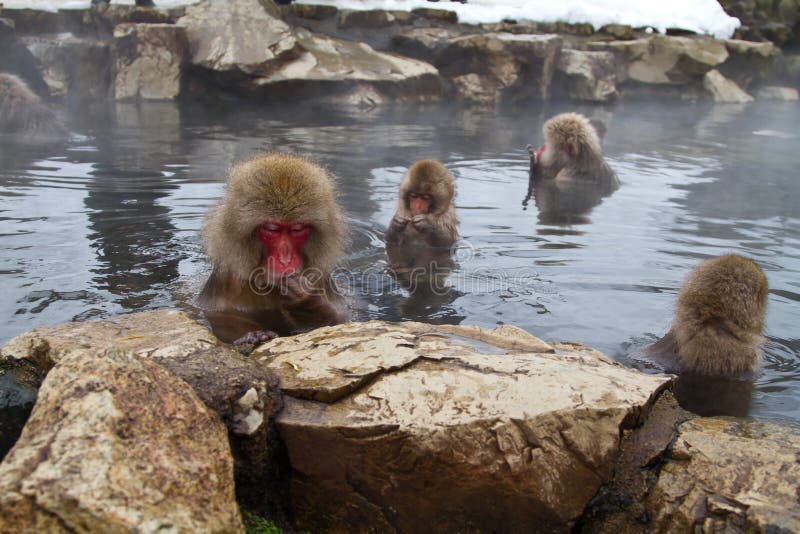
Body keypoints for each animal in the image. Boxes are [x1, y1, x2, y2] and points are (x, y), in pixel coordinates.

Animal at [197, 153, 348, 345]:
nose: (285, 259)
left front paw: (308, 305)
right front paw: (254, 335)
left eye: (297, 229)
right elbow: (221, 318)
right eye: (271, 229)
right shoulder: (229, 281)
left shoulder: (320, 278)